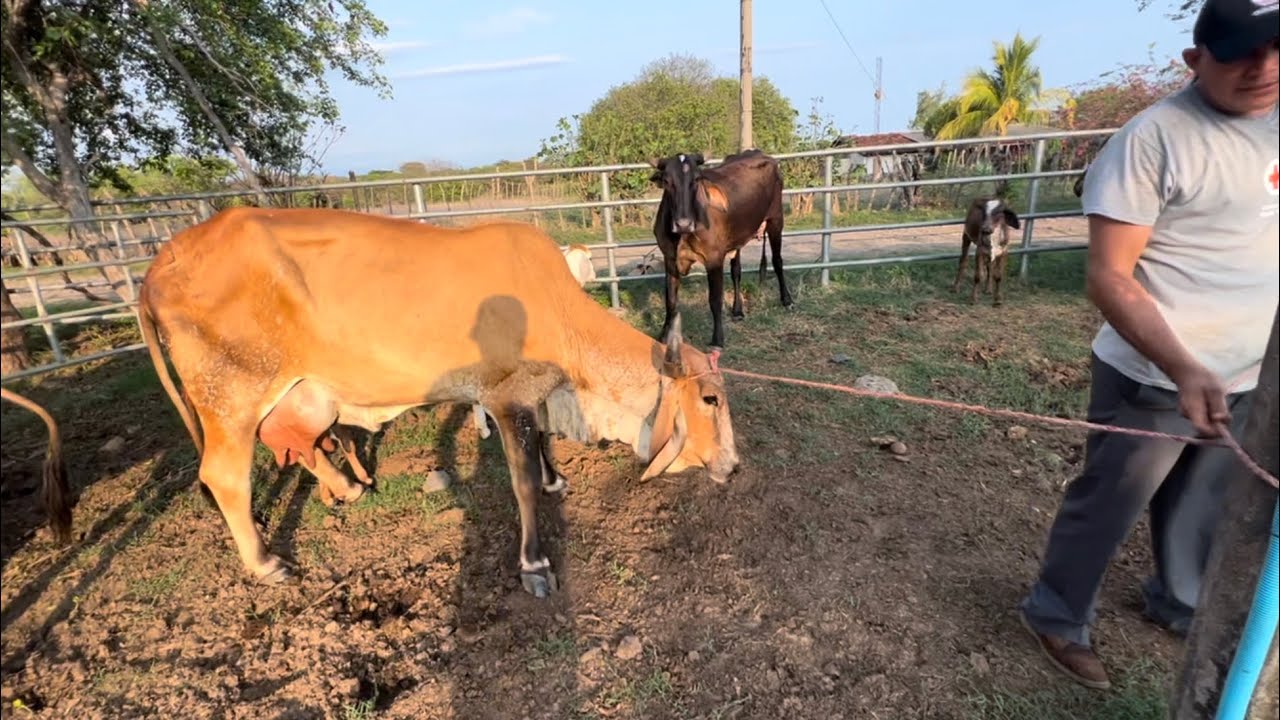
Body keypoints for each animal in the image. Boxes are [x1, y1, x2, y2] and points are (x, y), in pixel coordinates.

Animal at [136, 207, 739, 597]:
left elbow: (543, 446)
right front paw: (534, 562)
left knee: (303, 445)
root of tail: (159, 263)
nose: (733, 466)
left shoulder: (535, 395)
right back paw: (267, 563)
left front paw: (555, 478)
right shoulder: (505, 396)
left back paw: (347, 488)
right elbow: (521, 483)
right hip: (230, 396)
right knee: (224, 477)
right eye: (710, 398)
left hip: (298, 396)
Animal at [650, 149, 793, 349]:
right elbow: (670, 299)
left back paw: (786, 300)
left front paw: (718, 338)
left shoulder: (714, 259)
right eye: (666, 181)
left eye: (696, 179)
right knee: (736, 271)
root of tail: (758, 152)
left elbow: (715, 299)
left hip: (776, 219)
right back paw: (738, 310)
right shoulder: (669, 259)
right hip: (739, 235)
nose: (683, 223)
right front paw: (664, 335)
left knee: (777, 261)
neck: (683, 235)